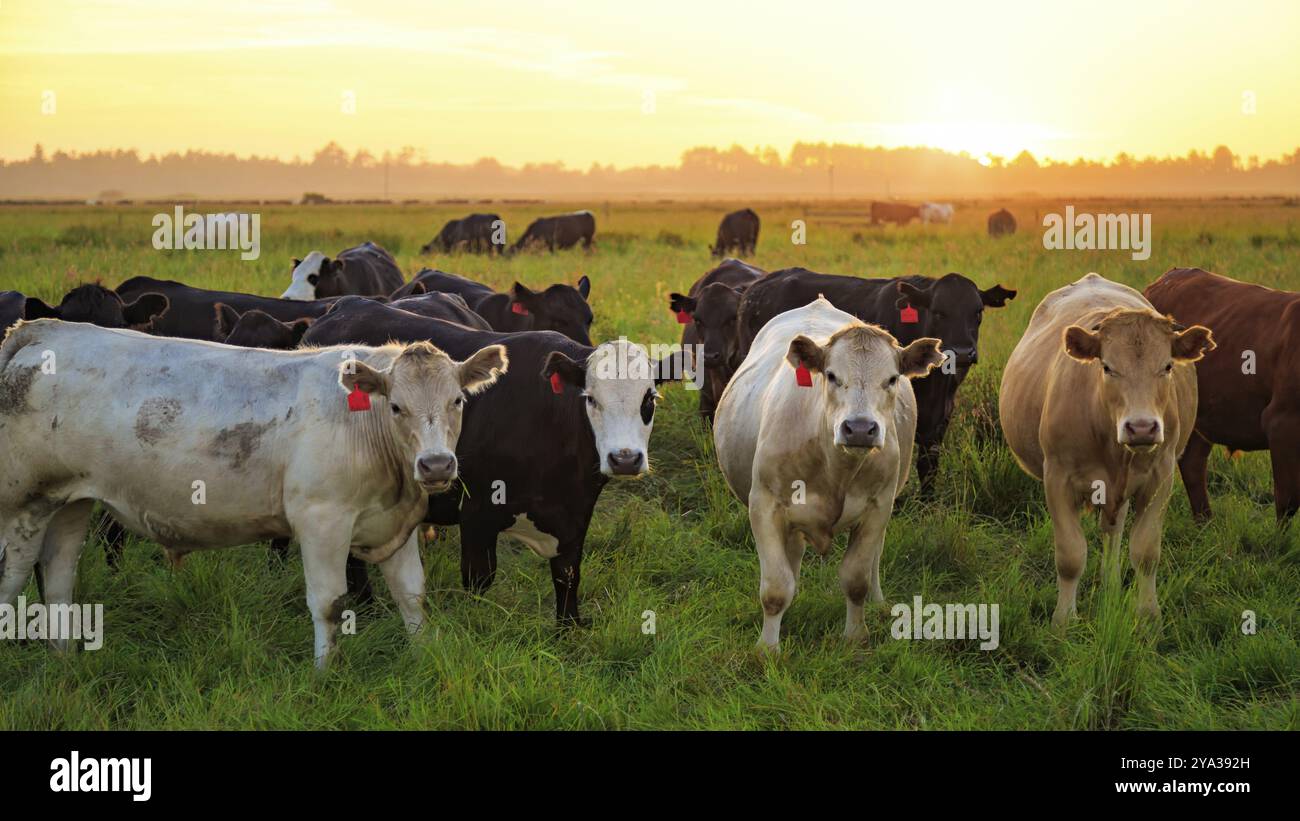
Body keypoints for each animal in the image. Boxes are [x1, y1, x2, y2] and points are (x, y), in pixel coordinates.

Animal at [0, 319, 508, 666]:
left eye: (457, 401)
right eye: (397, 406)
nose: (436, 464)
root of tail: (49, 329)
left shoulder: (395, 523)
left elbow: (412, 597)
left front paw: (424, 656)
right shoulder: (321, 520)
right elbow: (329, 602)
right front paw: (324, 674)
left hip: (70, 501)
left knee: (58, 576)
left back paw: (64, 658)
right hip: (23, 504)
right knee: (14, 577)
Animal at [302, 296, 677, 624]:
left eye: (649, 399)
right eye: (591, 399)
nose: (625, 459)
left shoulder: (576, 514)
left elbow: (568, 576)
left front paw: (568, 630)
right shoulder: (477, 513)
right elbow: (479, 579)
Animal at [714, 297, 942, 650]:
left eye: (892, 378)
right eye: (832, 375)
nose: (859, 428)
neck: (836, 467)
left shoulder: (878, 506)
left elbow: (856, 579)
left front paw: (856, 635)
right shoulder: (764, 504)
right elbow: (776, 587)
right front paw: (767, 648)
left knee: (874, 558)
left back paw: (878, 601)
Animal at [737, 268, 1015, 493]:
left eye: (978, 312)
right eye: (939, 312)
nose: (962, 352)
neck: (935, 386)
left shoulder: (940, 420)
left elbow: (928, 467)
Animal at [999, 273, 1214, 629]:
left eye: (1167, 366)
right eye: (1108, 367)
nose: (1141, 427)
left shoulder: (1160, 477)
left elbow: (1146, 551)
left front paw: (1148, 615)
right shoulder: (1057, 478)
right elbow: (1070, 555)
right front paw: (1064, 619)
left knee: (1113, 532)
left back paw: (1111, 582)